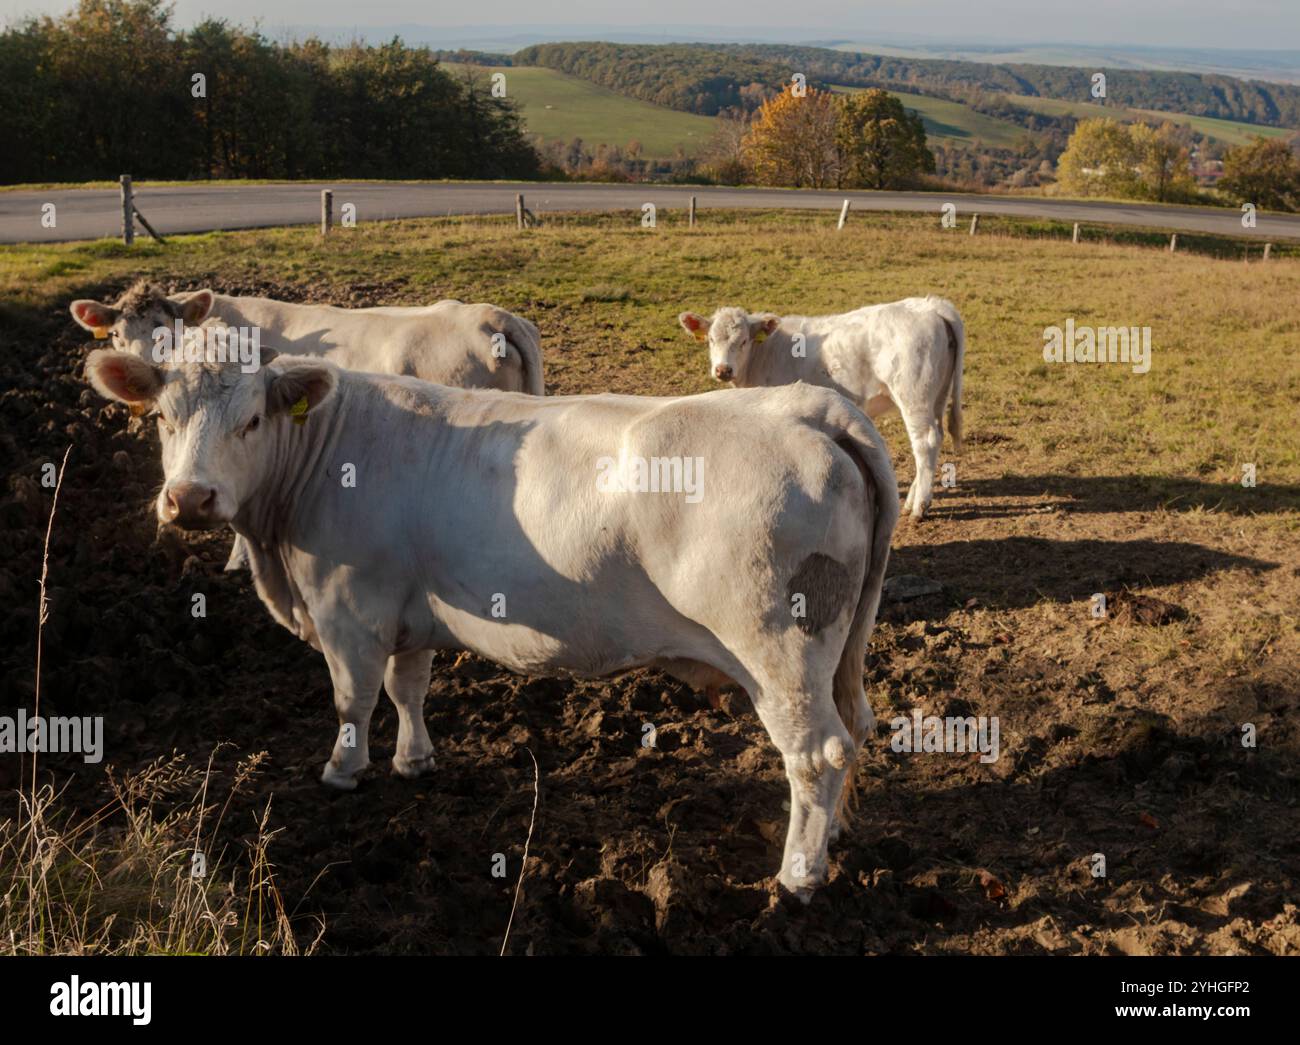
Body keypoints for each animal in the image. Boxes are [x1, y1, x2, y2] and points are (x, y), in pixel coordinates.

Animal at [82, 337, 899, 899]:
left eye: (252, 420)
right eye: (162, 418)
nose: (189, 498)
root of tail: (810, 406)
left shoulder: (349, 610)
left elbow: (353, 699)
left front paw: (344, 771)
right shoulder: (408, 606)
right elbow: (408, 687)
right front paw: (414, 760)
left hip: (780, 647)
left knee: (817, 751)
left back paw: (799, 874)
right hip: (842, 648)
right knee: (854, 726)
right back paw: (836, 832)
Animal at [679, 296, 965, 520]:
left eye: (744, 341)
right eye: (711, 340)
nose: (723, 370)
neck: (766, 353)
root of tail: (930, 305)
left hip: (913, 395)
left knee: (925, 442)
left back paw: (919, 507)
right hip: (936, 397)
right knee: (934, 439)